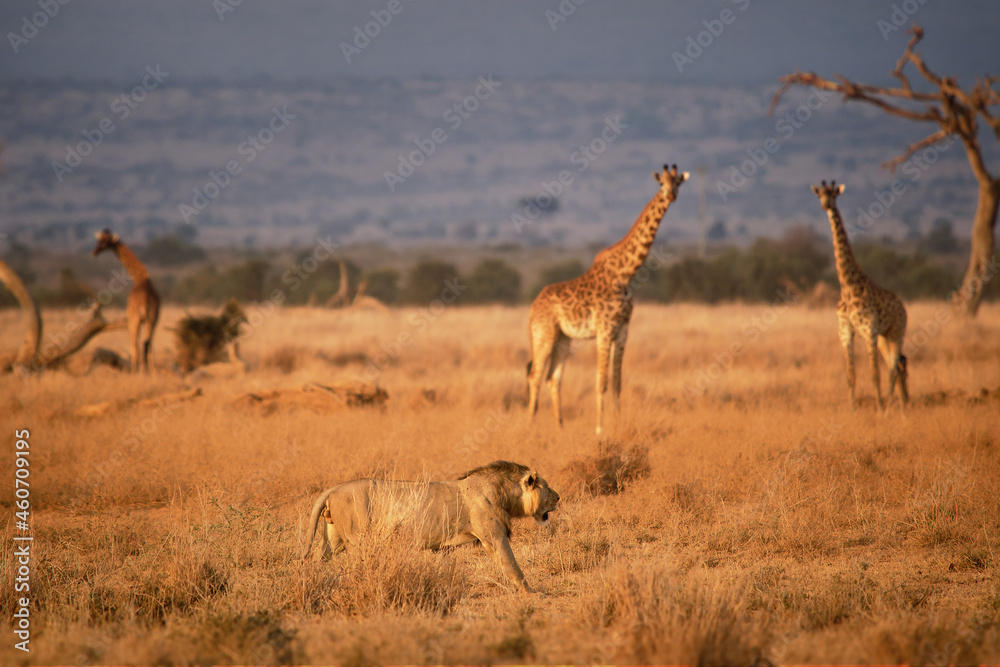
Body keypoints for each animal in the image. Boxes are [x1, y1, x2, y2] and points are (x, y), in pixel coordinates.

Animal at [301, 460, 560, 592]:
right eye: (546, 487)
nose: (558, 497)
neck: (505, 494)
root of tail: (334, 488)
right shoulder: (494, 537)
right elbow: (513, 566)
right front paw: (531, 593)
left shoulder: (445, 546)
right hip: (358, 540)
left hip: (333, 540)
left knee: (317, 559)